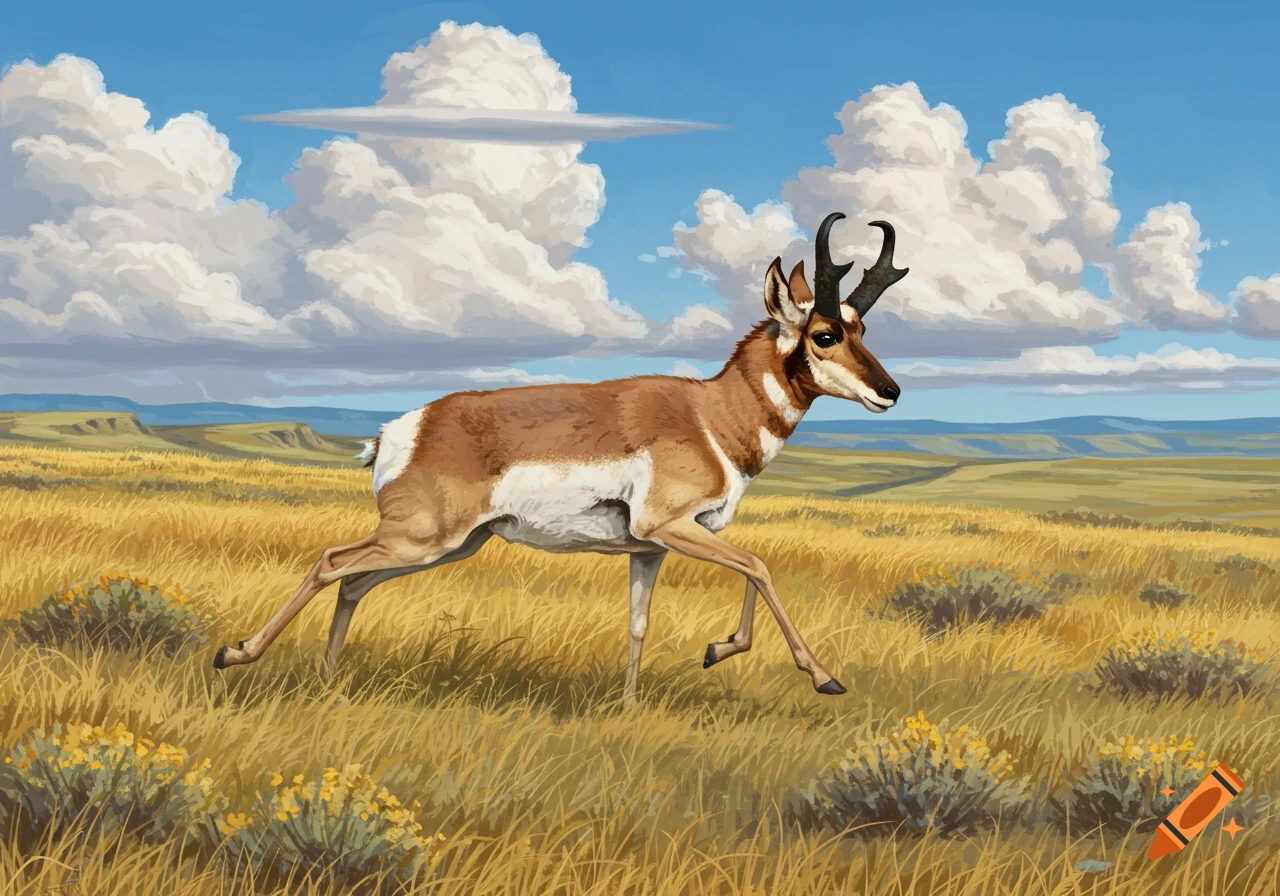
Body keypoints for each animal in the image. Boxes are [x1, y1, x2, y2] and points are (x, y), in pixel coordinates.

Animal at [212, 212, 909, 707]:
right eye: (825, 334)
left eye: (863, 330)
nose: (891, 391)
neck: (710, 415)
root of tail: (401, 431)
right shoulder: (669, 527)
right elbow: (759, 566)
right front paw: (816, 675)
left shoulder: (651, 548)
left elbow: (642, 622)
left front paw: (643, 697)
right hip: (421, 538)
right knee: (333, 562)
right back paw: (235, 655)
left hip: (446, 546)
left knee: (353, 581)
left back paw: (328, 682)